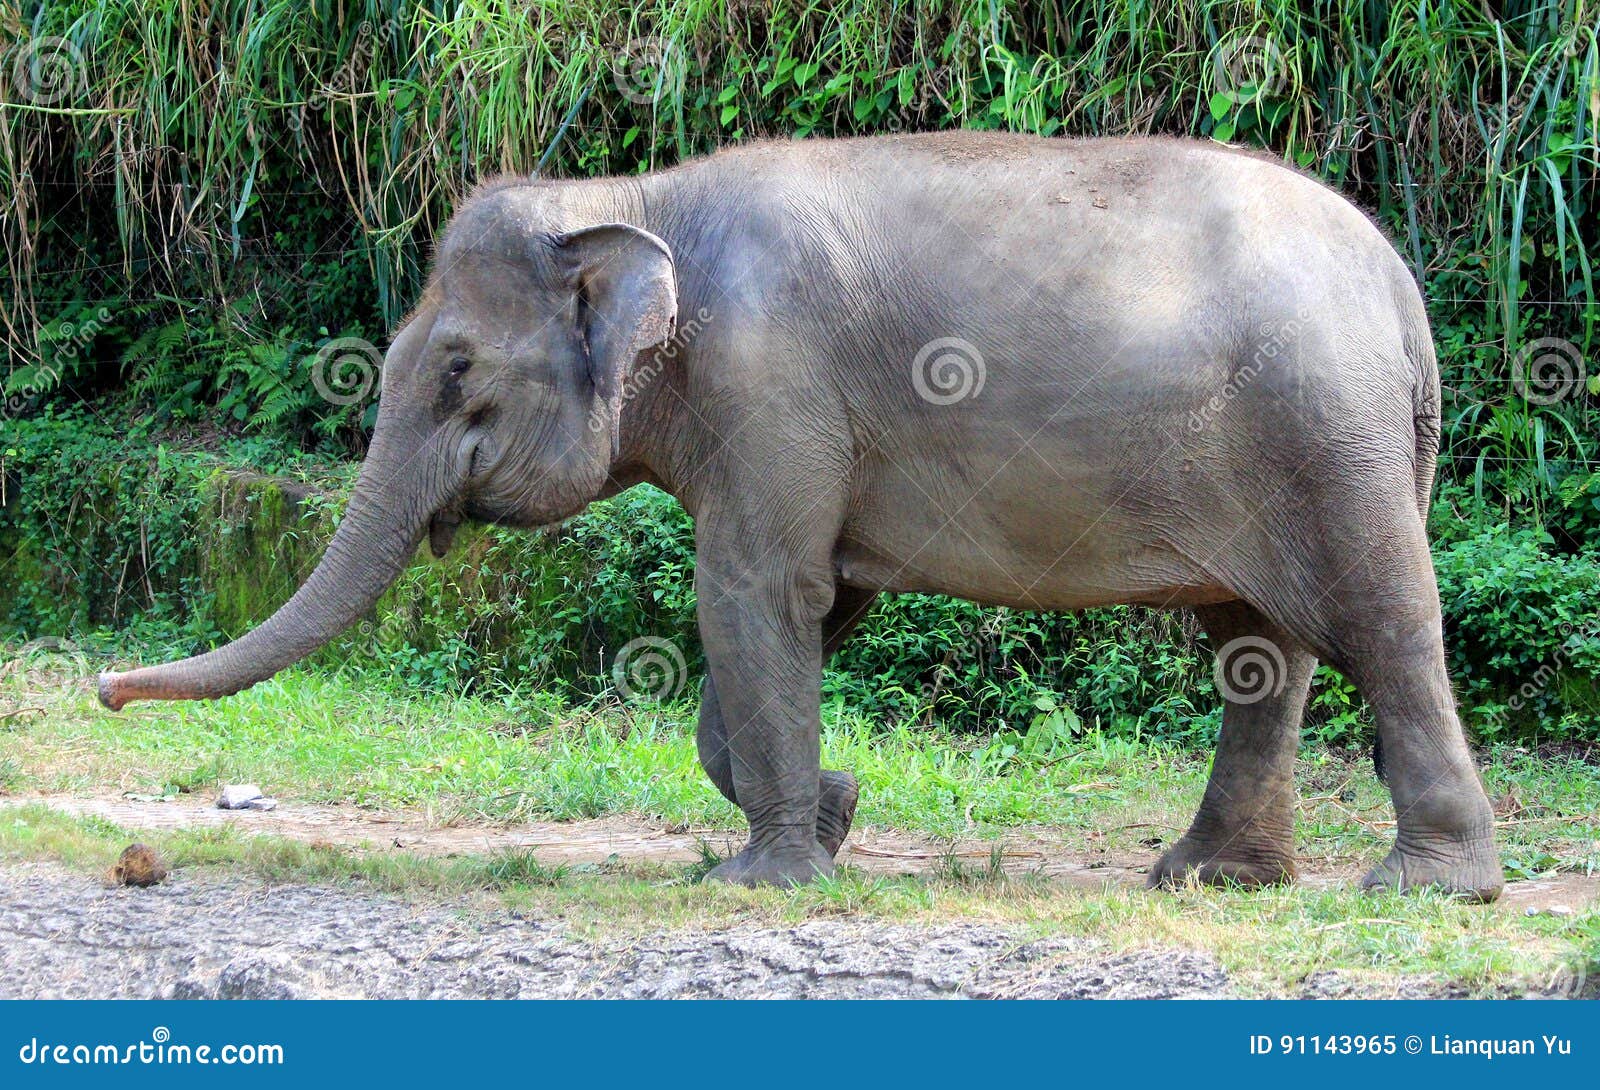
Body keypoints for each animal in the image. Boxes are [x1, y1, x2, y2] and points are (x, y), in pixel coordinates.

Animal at [98, 130, 1503, 900]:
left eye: (454, 370)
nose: (104, 690)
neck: (634, 197)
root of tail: (1403, 290)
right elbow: (818, 609)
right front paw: (835, 808)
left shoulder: (767, 379)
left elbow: (756, 593)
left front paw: (766, 875)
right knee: (1256, 650)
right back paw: (1212, 876)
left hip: (1325, 429)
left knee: (1381, 621)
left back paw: (1430, 886)